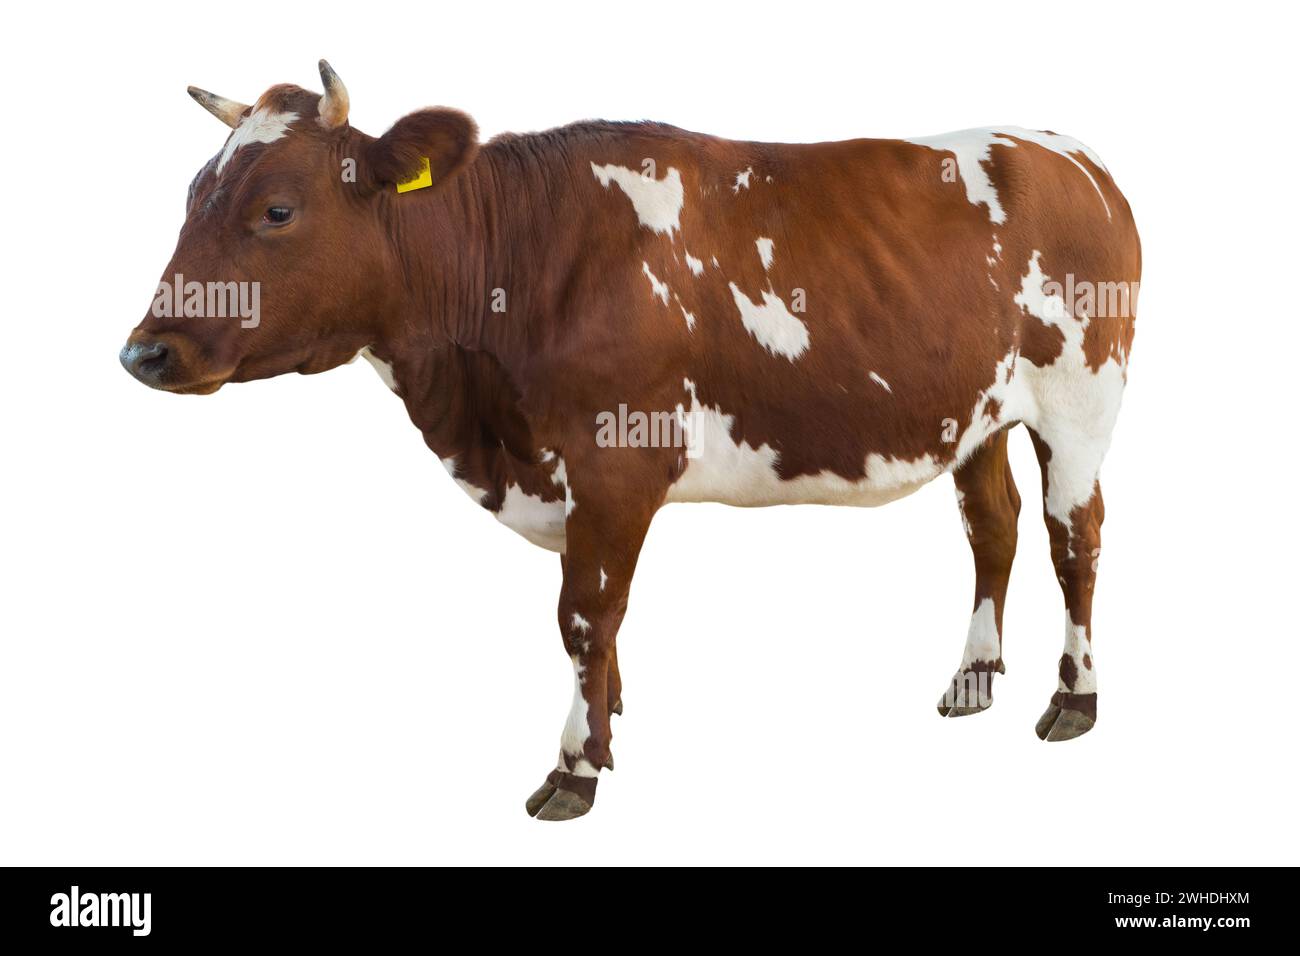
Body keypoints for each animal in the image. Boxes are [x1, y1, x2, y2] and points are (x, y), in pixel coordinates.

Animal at [121, 62, 1139, 820]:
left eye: (277, 210)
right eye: (192, 195)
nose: (146, 349)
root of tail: (1070, 152)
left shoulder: (613, 466)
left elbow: (584, 615)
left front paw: (574, 766)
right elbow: (599, 625)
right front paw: (609, 725)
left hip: (1080, 404)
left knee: (1075, 538)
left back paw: (1073, 698)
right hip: (978, 413)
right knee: (993, 526)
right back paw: (974, 677)